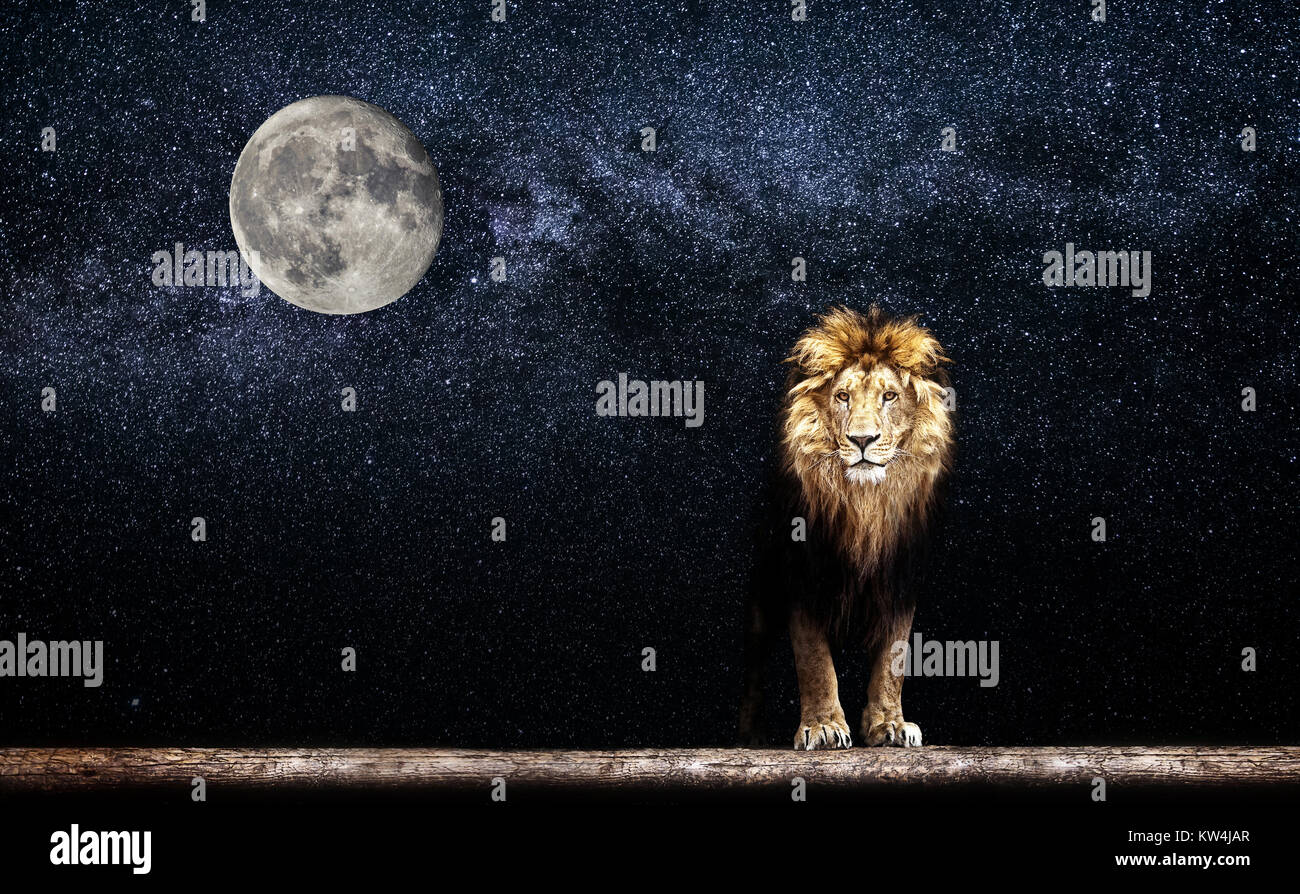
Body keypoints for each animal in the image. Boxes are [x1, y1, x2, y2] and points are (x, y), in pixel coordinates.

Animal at [738, 305, 954, 750]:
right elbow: (814, 660)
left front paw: (889, 724)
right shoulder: (802, 575)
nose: (862, 439)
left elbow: (893, 660)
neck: (864, 505)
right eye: (843, 397)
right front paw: (822, 726)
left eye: (889, 396)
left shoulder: (900, 578)